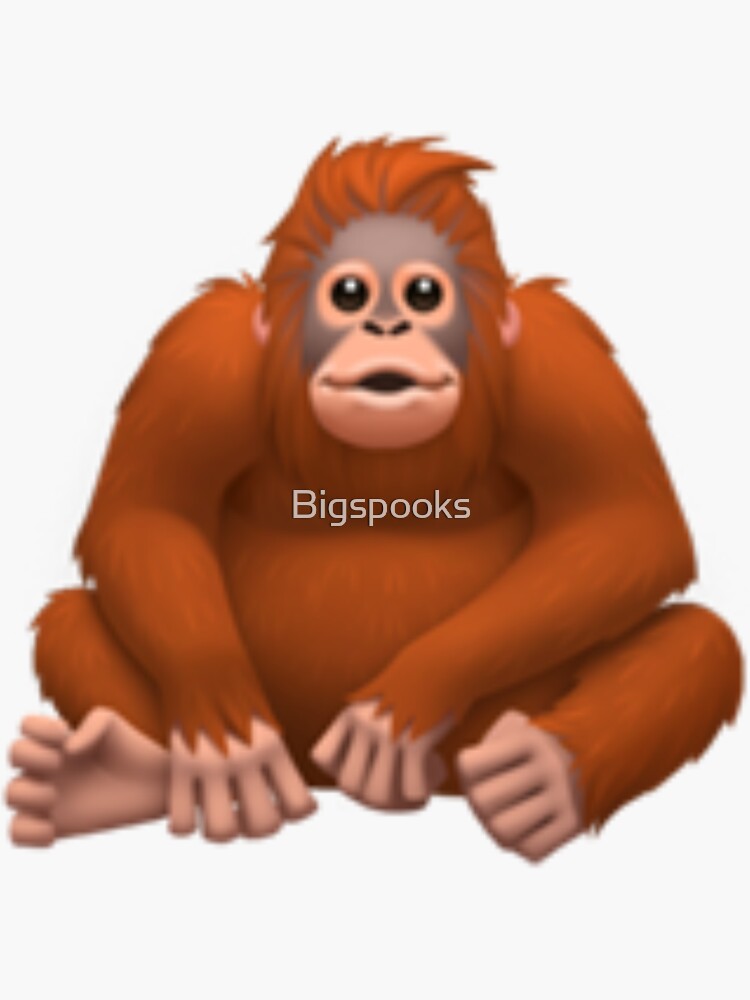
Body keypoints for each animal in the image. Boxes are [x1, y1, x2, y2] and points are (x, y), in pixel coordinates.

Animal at [6, 138, 742, 861]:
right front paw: (227, 731)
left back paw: (537, 778)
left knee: (701, 640)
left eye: (423, 293)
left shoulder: (555, 354)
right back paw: (107, 776)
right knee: (70, 618)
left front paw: (401, 704)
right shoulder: (201, 356)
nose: (387, 326)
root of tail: (316, 775)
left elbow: (624, 520)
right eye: (350, 292)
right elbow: (150, 513)